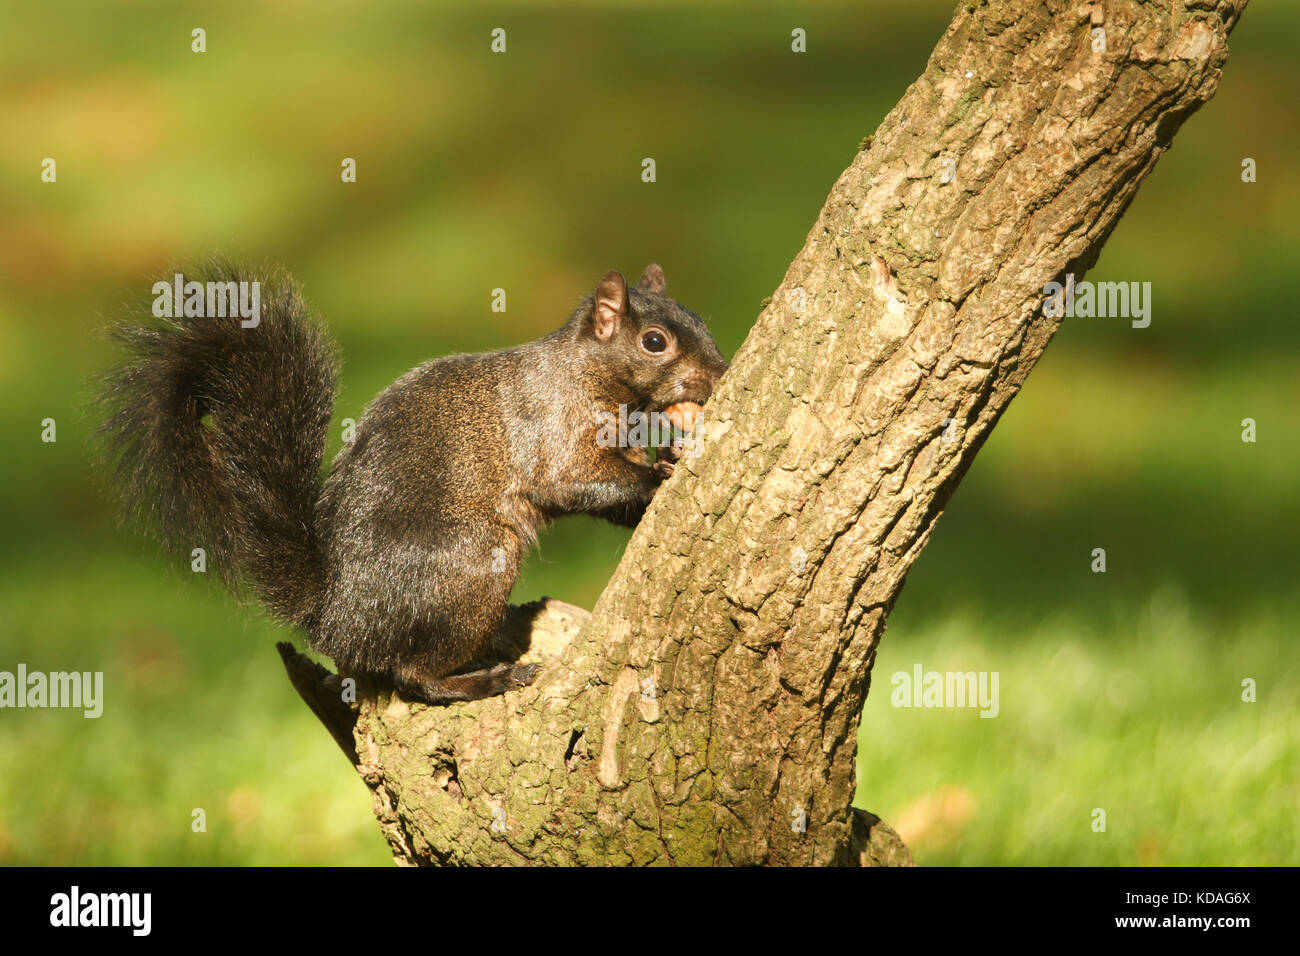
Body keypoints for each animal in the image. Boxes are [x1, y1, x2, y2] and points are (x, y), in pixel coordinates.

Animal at [97, 261, 728, 704]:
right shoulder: (551, 434)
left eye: (701, 320)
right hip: (473, 563)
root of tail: (337, 619)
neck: (587, 375)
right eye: (654, 342)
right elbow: (576, 483)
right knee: (413, 677)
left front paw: (668, 454)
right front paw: (658, 475)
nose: (721, 375)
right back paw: (486, 680)